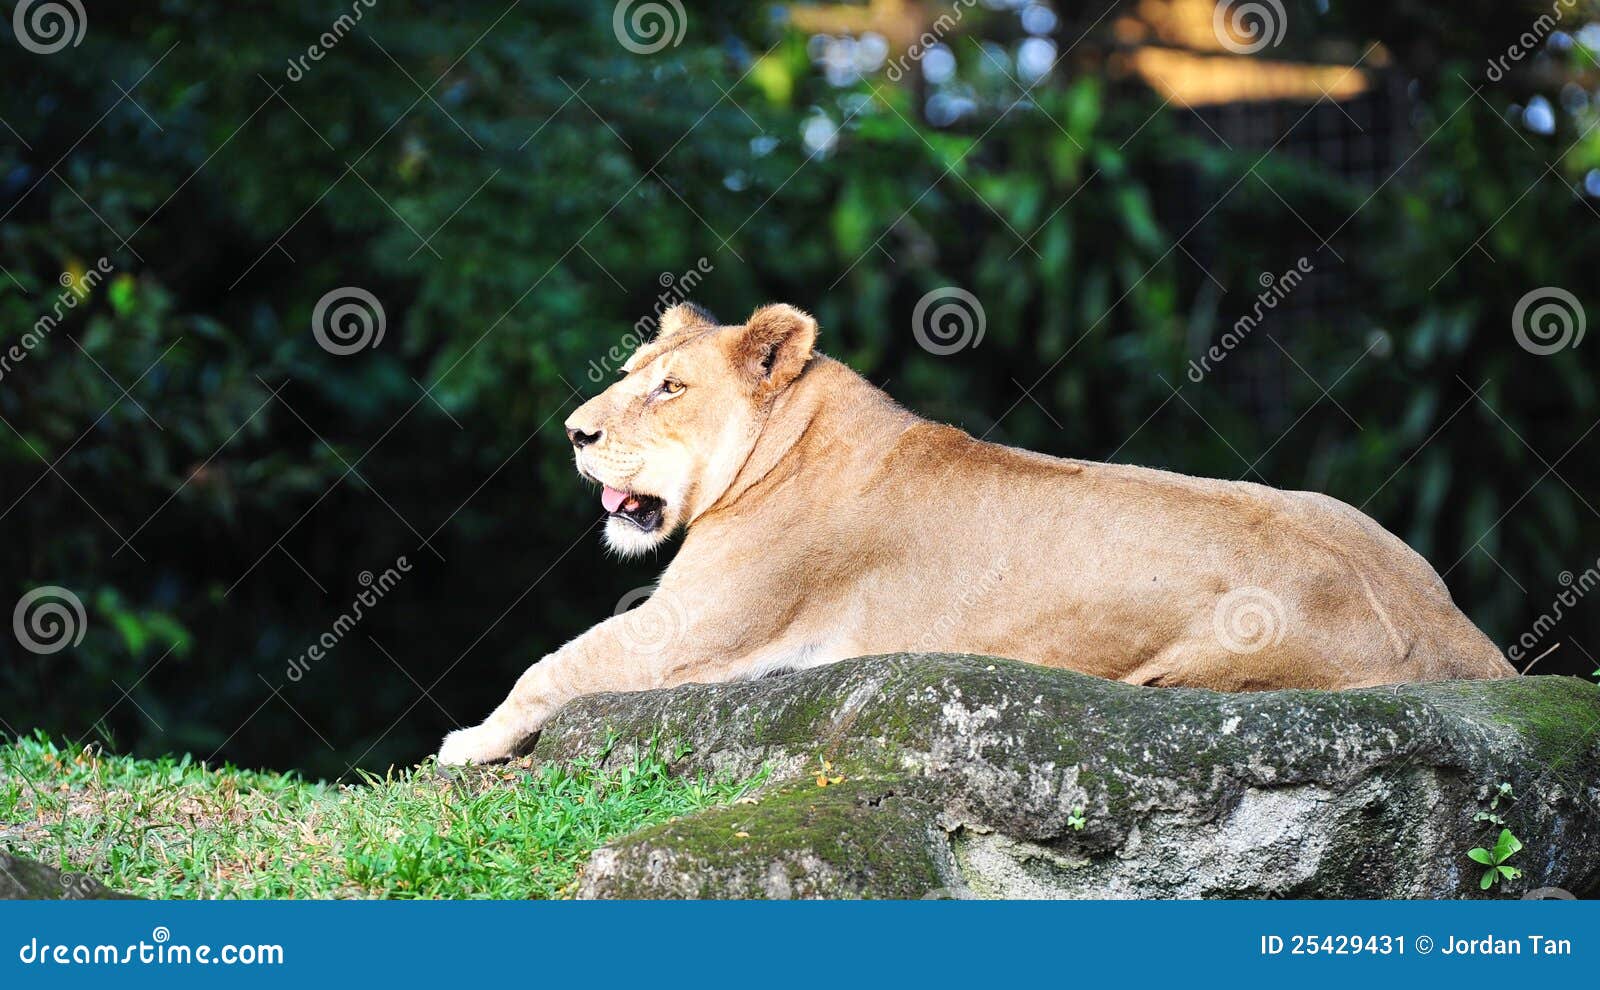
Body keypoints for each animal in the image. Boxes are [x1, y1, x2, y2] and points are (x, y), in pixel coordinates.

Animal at [436, 302, 1515, 765]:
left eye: (670, 387)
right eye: (630, 373)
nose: (573, 433)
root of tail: (1465, 644)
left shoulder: (703, 626)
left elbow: (555, 662)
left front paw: (468, 741)